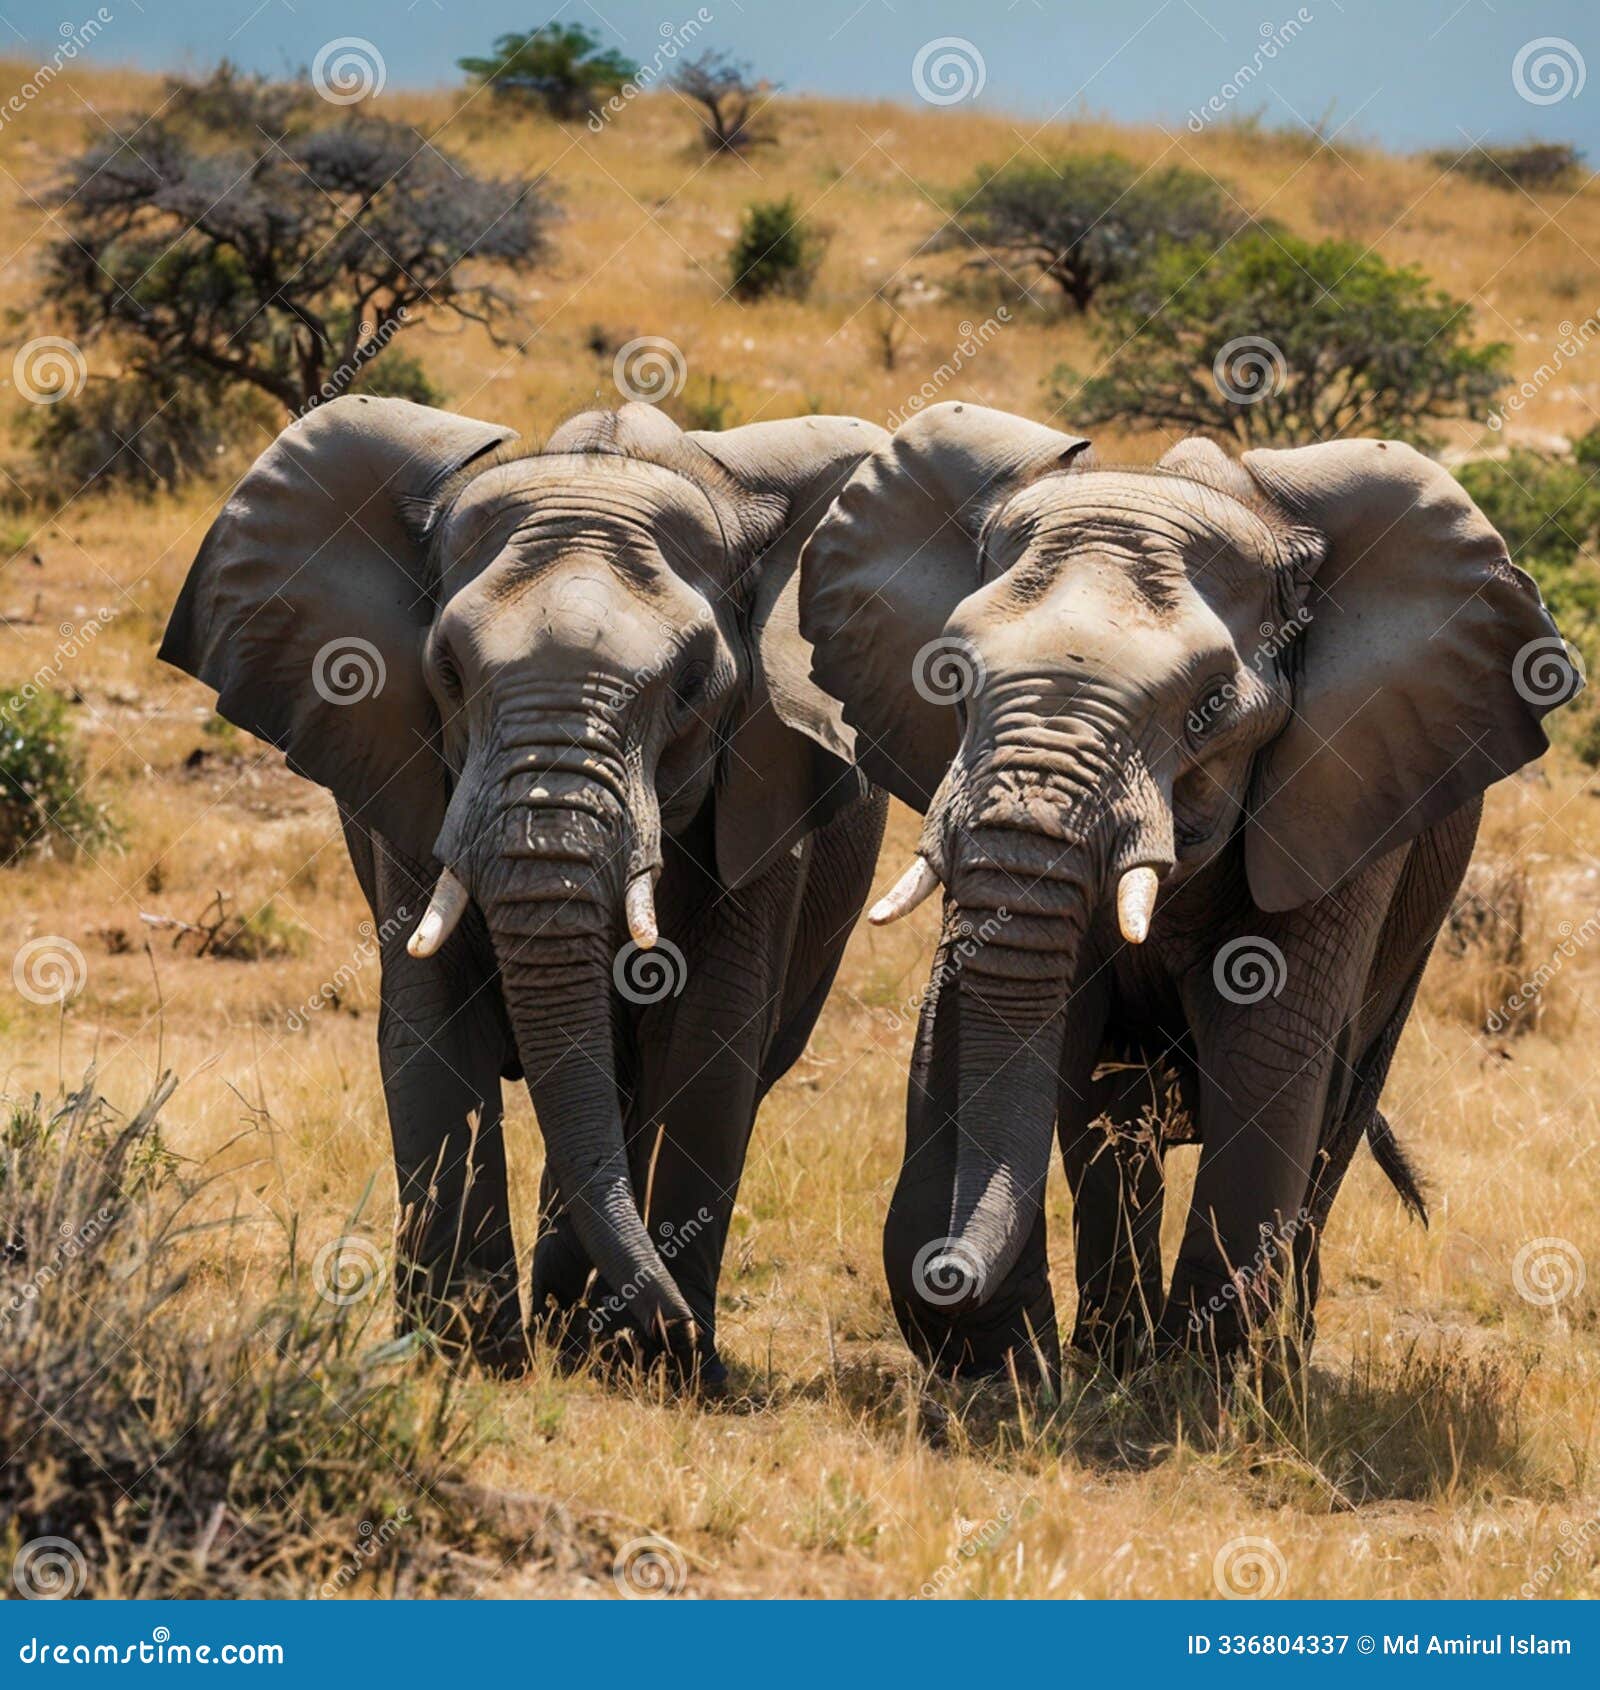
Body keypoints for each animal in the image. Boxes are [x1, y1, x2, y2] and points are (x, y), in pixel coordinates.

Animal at [161, 395, 888, 1381]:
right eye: (448, 673)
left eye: (694, 685)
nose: (675, 1328)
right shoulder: (417, 779)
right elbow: (432, 1024)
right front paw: (461, 1355)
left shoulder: (768, 784)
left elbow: (708, 1038)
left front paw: (667, 1369)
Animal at [797, 401, 1581, 1383]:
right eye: (952, 678)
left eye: (1208, 710)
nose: (952, 1270)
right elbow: (1005, 1022)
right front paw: (1046, 1378)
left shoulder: (1344, 792)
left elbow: (1269, 1048)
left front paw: (1197, 1395)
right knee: (1112, 1115)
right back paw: (1112, 1357)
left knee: (1333, 1121)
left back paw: (1275, 1366)